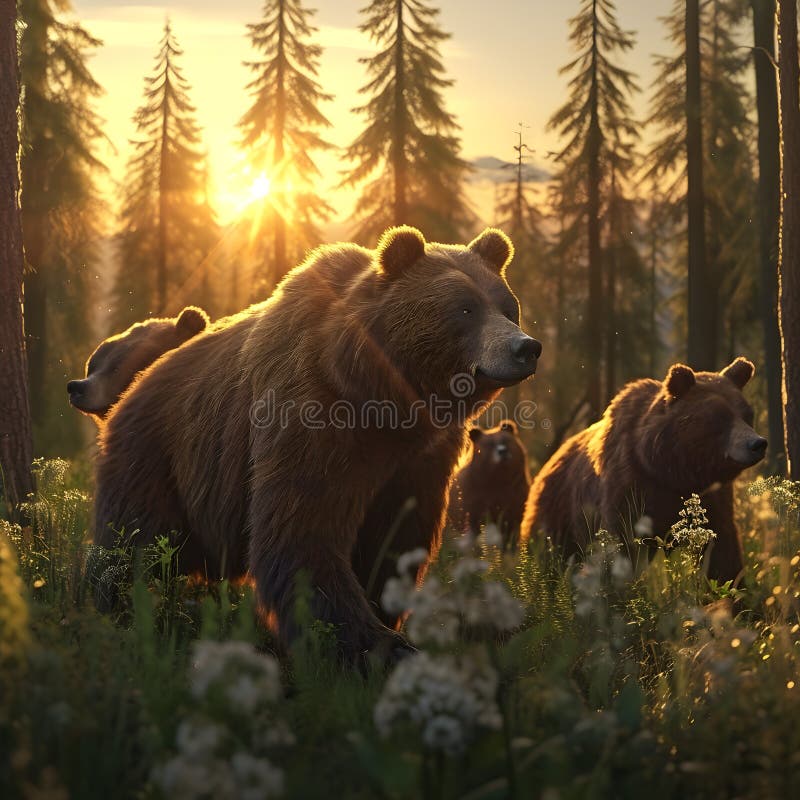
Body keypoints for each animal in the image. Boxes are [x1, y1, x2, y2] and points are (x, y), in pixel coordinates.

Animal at [447, 420, 531, 549]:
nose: (502, 451)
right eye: (489, 444)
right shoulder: (473, 500)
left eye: (506, 440)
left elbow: (511, 528)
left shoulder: (515, 497)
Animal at [520, 358, 766, 584]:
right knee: (549, 555)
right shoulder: (630, 487)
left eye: (747, 414)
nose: (757, 443)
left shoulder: (711, 498)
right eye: (719, 416)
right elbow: (621, 543)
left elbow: (722, 552)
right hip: (558, 512)